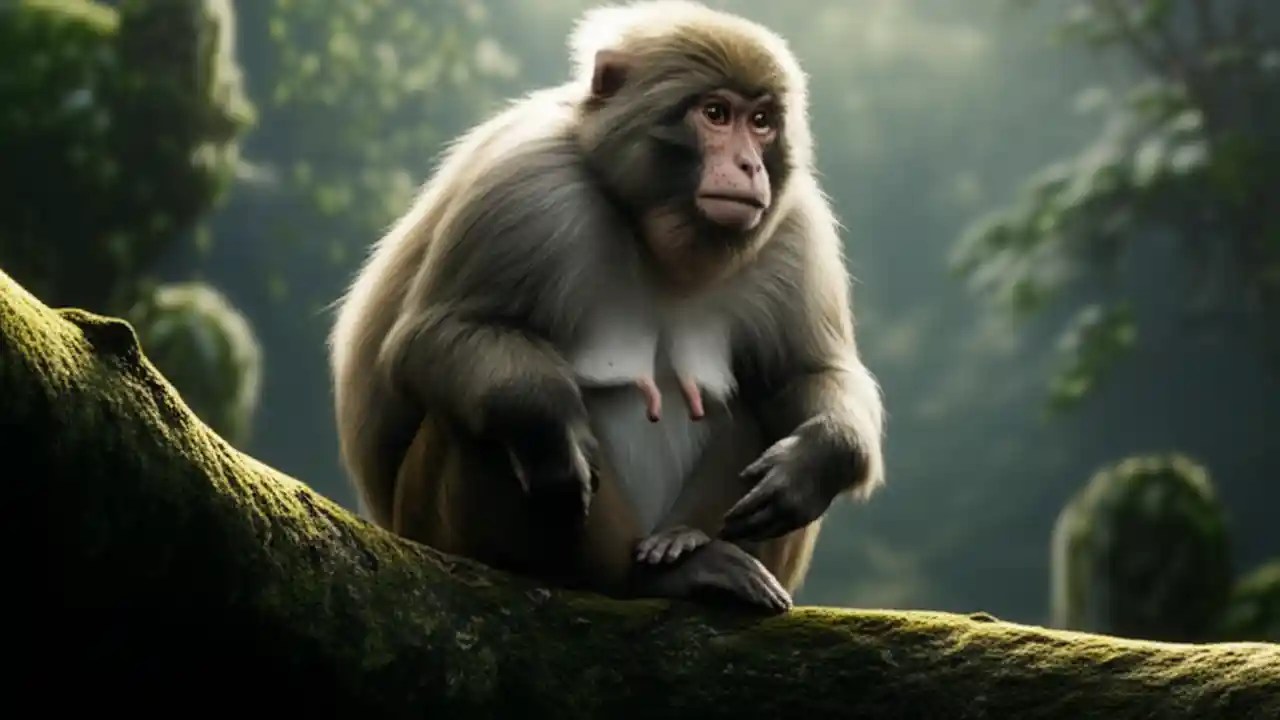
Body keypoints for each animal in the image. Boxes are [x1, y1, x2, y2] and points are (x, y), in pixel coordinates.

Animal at [328, 0, 885, 613]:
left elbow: (807, 373)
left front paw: (816, 460)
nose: (749, 167)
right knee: (482, 421)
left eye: (761, 121)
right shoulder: (524, 185)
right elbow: (434, 337)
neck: (652, 231)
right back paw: (643, 575)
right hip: (437, 523)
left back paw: (685, 552)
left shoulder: (794, 228)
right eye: (716, 113)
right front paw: (547, 422)